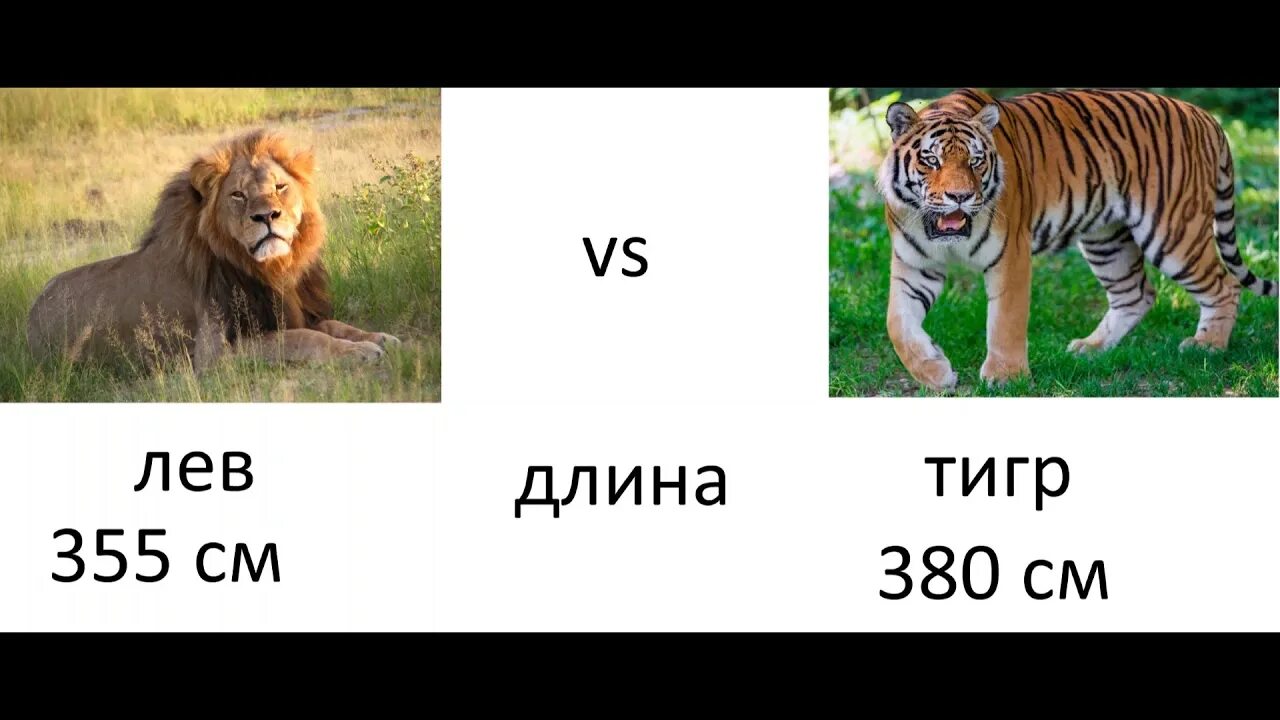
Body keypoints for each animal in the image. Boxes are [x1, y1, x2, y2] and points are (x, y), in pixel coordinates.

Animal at [875, 88, 1278, 391]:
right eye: (931, 160)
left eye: (975, 161)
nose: (960, 196)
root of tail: (1205, 116)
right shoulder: (913, 265)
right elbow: (897, 324)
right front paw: (935, 373)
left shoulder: (1011, 256)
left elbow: (1006, 320)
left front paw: (1006, 377)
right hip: (1107, 239)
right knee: (1136, 294)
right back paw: (1091, 348)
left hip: (1173, 231)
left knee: (1224, 286)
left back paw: (1206, 346)